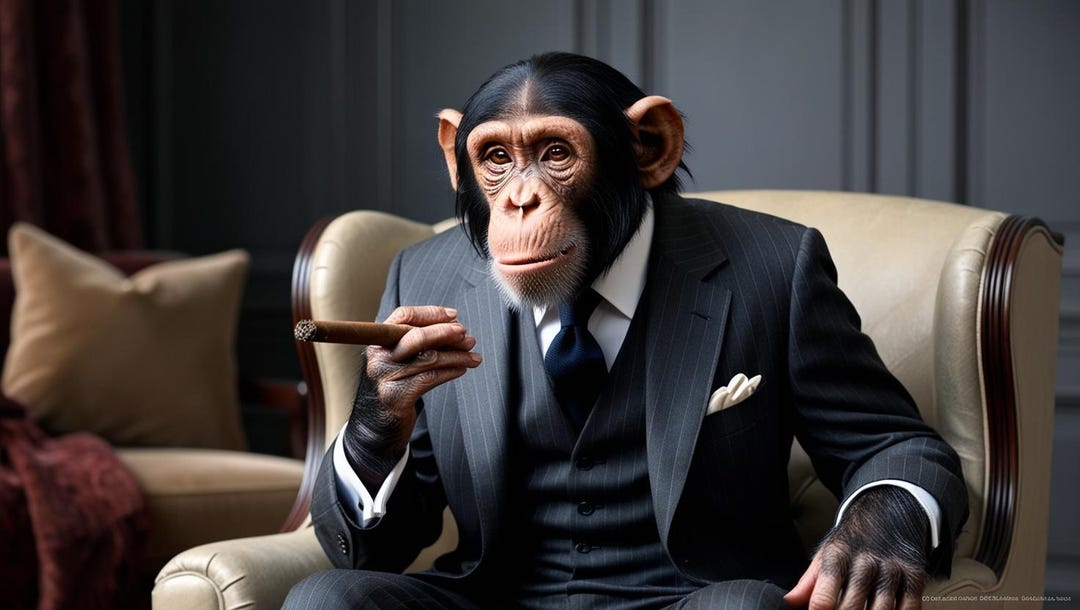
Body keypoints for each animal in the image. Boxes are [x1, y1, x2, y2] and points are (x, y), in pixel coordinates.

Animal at [288, 52, 967, 610]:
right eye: (497, 158)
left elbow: (892, 443)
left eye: (555, 154)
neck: (582, 293)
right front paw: (391, 383)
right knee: (335, 587)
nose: (520, 203)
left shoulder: (811, 299)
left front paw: (864, 552)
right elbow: (401, 518)